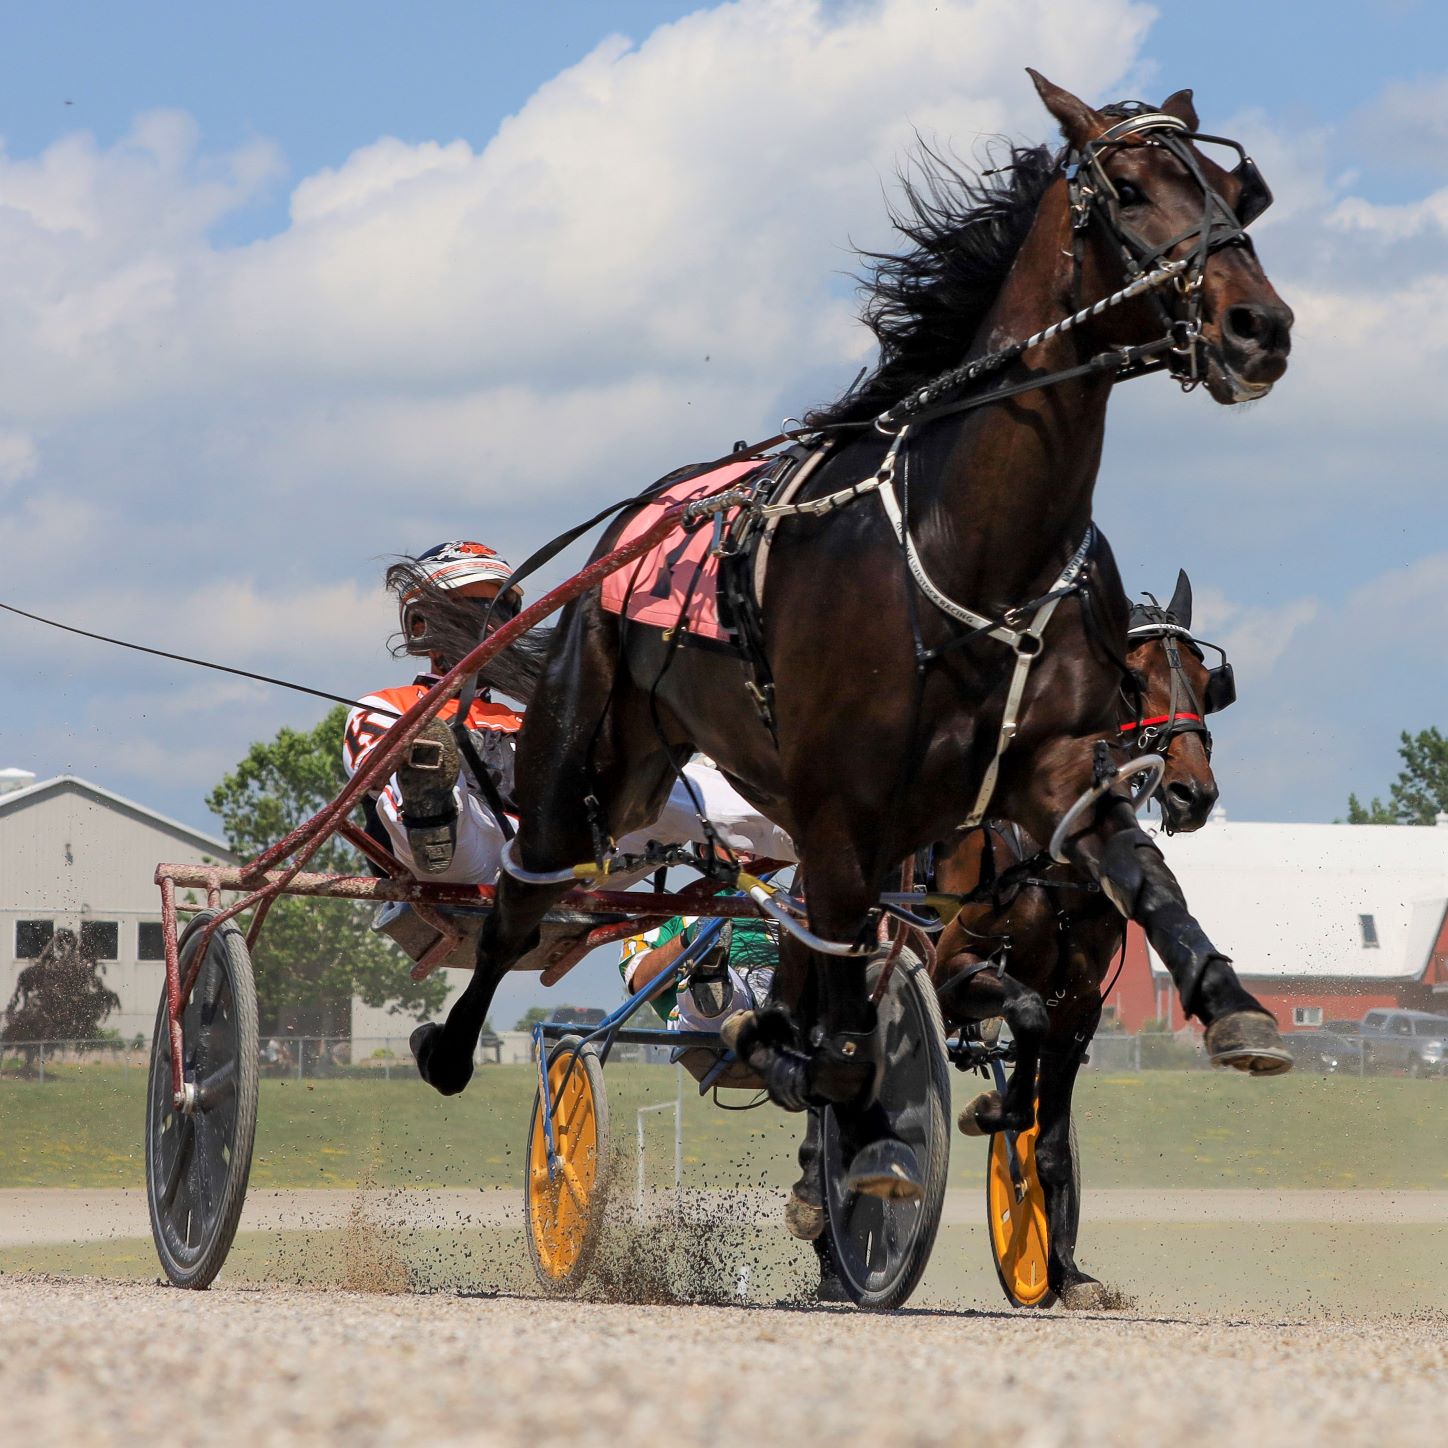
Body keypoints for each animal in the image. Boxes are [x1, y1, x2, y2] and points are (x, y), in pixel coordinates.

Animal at [409, 72, 1295, 1200]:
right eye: (1129, 187)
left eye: (1232, 191)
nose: (1259, 324)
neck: (966, 547)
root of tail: (644, 514)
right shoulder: (844, 799)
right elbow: (851, 1026)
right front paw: (836, 1102)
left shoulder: (1049, 775)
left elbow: (1139, 879)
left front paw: (1232, 1005)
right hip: (586, 758)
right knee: (527, 893)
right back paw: (454, 1044)